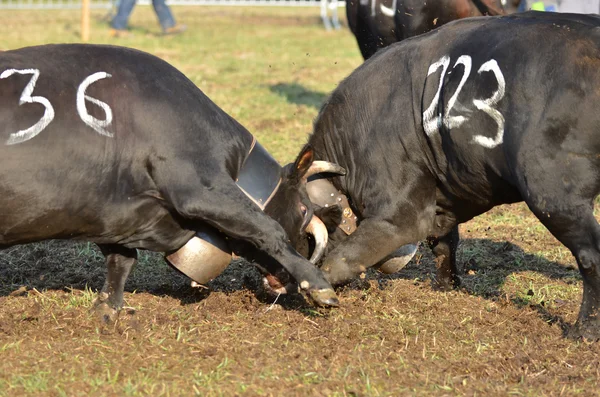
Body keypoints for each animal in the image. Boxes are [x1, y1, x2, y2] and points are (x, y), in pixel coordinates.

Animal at [0, 43, 338, 316]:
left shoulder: (112, 216)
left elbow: (121, 261)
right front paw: (319, 286)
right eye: (303, 209)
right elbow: (266, 227)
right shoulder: (198, 188)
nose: (287, 284)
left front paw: (106, 310)